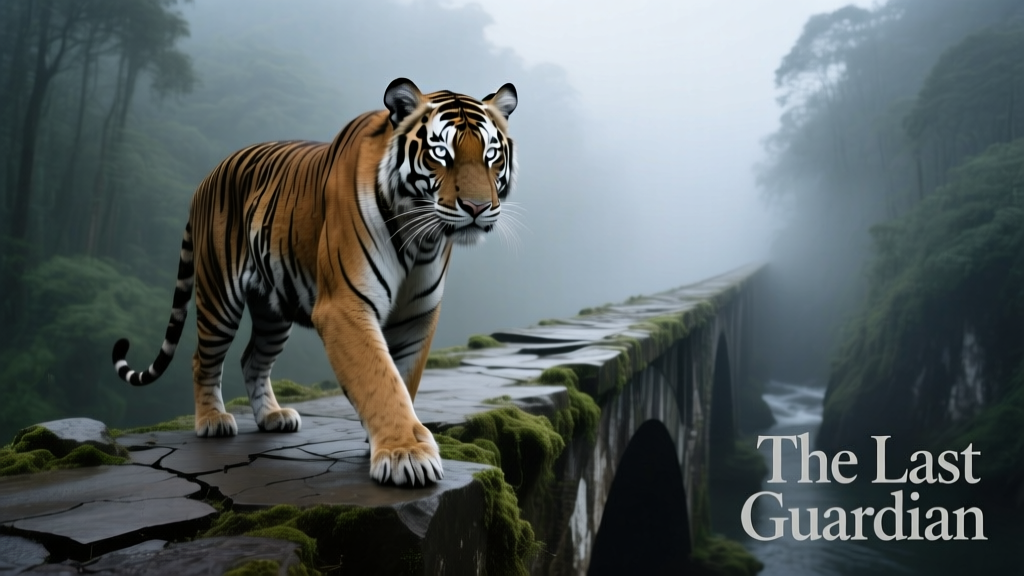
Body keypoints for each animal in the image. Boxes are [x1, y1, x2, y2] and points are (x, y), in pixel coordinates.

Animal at [111, 78, 518, 486]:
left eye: (491, 155)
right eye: (441, 153)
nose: (478, 208)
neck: (419, 240)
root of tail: (206, 178)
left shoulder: (417, 317)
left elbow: (403, 379)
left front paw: (389, 442)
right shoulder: (344, 307)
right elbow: (380, 378)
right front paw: (407, 453)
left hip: (273, 312)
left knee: (252, 359)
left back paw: (272, 416)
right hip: (219, 297)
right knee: (203, 358)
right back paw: (213, 421)